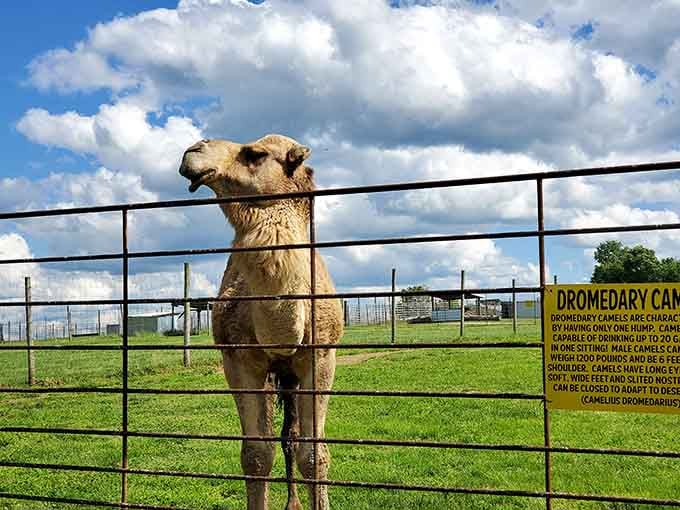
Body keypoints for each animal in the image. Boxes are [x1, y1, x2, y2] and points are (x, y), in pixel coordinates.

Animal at [179, 135, 343, 510]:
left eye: (255, 154)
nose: (194, 149)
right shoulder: (239, 359)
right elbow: (256, 455)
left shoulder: (321, 356)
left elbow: (314, 456)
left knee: (292, 436)